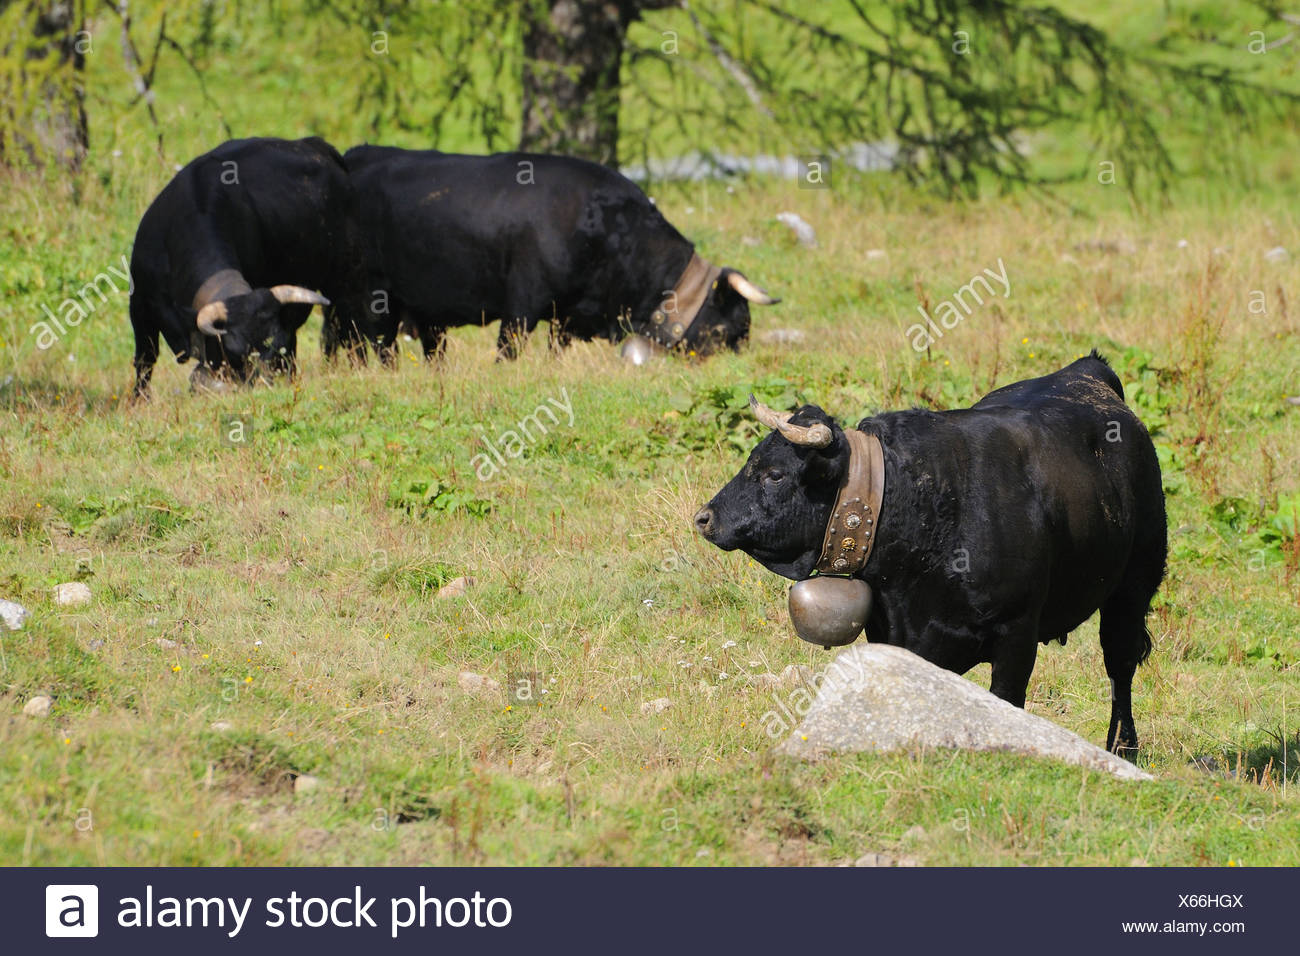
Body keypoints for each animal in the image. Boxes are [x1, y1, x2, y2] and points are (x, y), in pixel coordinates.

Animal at [128, 136, 375, 397]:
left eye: (274, 347)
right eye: (233, 352)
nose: (264, 385)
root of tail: (314, 144)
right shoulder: (139, 305)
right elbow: (145, 358)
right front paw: (139, 400)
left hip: (346, 273)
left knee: (349, 327)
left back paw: (358, 368)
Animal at [342, 146, 778, 361]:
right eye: (733, 328)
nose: (738, 365)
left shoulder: (567, 317)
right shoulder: (522, 304)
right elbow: (508, 350)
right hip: (376, 298)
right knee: (378, 346)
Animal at [694, 353, 1167, 755]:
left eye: (774, 474)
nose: (705, 517)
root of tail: (1087, 370)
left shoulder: (1017, 632)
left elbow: (1008, 701)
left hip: (1133, 586)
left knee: (1120, 665)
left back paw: (1123, 748)